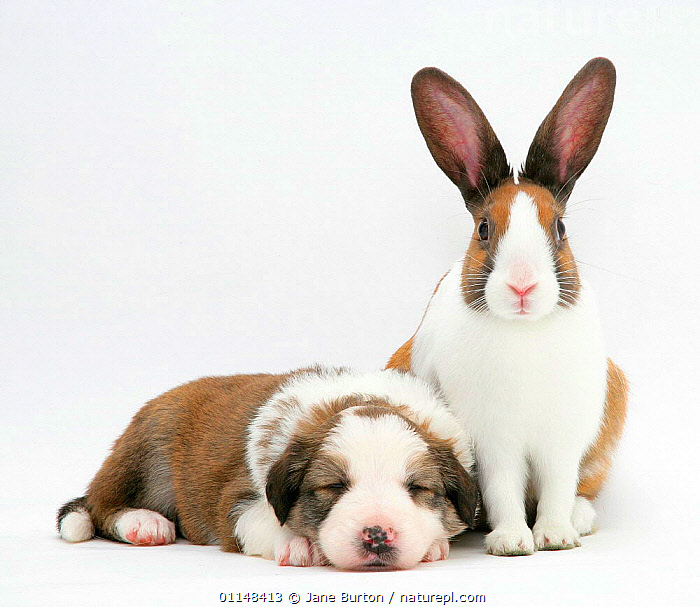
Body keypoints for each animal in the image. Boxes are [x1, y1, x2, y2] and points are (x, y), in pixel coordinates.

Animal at [387, 58, 628, 556]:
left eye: (559, 229)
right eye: (483, 229)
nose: (522, 286)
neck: (524, 332)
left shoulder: (563, 439)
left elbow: (558, 487)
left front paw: (555, 536)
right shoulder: (493, 442)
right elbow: (502, 490)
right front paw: (512, 542)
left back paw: (580, 519)